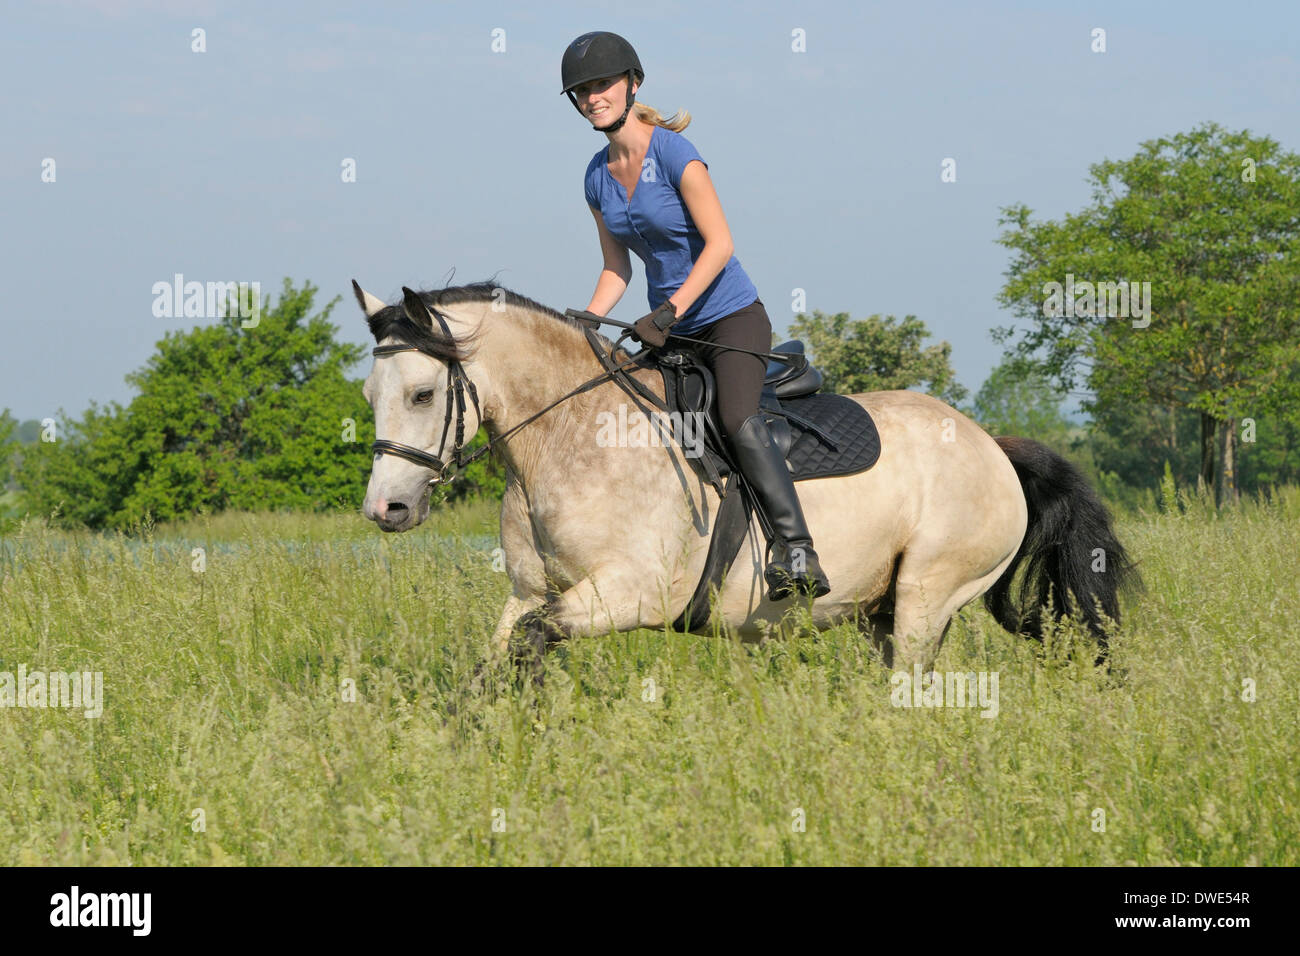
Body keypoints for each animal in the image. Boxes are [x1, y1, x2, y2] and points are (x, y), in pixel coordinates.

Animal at [353, 280, 1137, 678]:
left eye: (421, 393)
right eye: (370, 394)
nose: (386, 509)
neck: (572, 437)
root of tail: (992, 446)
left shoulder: (628, 593)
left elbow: (533, 642)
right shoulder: (528, 591)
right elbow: (500, 653)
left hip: (930, 593)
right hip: (885, 608)